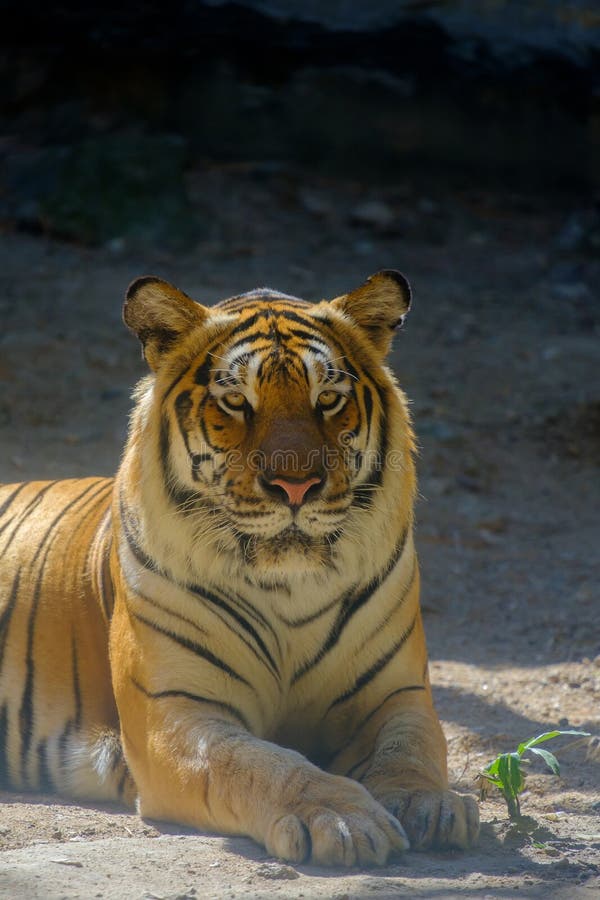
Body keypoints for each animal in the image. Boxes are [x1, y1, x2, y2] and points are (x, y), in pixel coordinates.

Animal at [0, 270, 479, 866]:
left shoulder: (396, 693)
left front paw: (428, 803)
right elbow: (257, 763)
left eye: (328, 399)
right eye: (235, 401)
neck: (290, 587)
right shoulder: (177, 712)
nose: (295, 485)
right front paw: (342, 817)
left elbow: (411, 748)